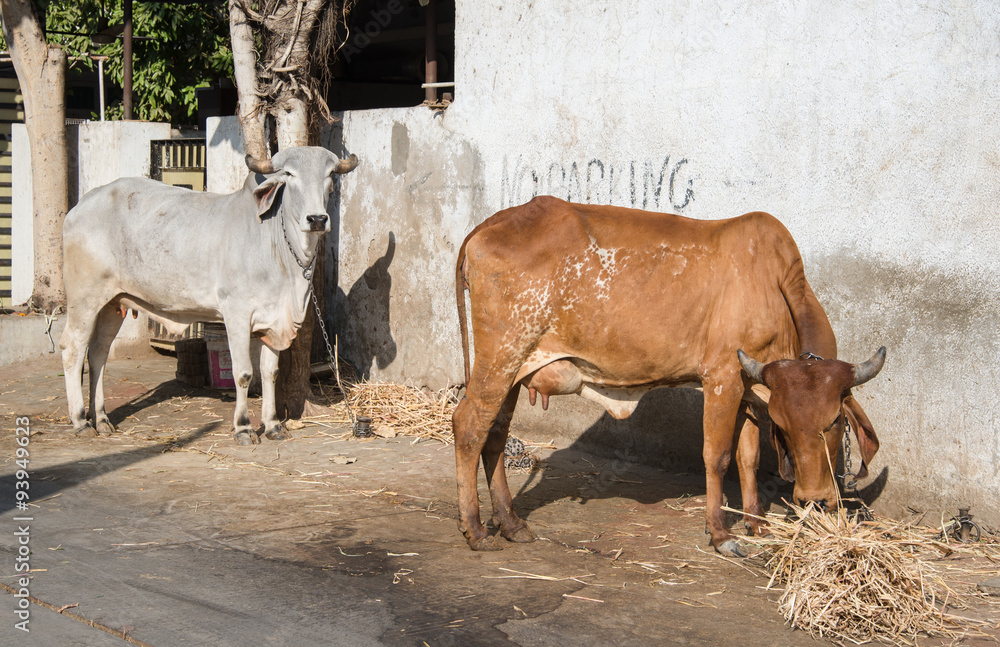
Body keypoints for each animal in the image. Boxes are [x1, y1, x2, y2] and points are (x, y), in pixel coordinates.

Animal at [60, 146, 358, 445]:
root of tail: (80, 206)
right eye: (289, 174)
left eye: (330, 174)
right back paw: (80, 421)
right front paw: (243, 428)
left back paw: (101, 419)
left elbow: (270, 372)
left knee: (98, 353)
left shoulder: (274, 320)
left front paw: (273, 425)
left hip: (113, 303)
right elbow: (243, 373)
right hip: (84, 300)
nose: (317, 219)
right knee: (73, 348)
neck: (279, 247)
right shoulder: (236, 314)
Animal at [452, 196, 885, 556]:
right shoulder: (723, 378)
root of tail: (491, 223)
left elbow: (747, 458)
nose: (815, 499)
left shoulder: (749, 388)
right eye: (785, 426)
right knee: (469, 426)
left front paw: (756, 524)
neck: (775, 287)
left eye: (834, 421)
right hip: (501, 357)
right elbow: (717, 456)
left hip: (514, 368)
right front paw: (721, 533)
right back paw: (476, 530)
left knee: (495, 434)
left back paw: (511, 523)